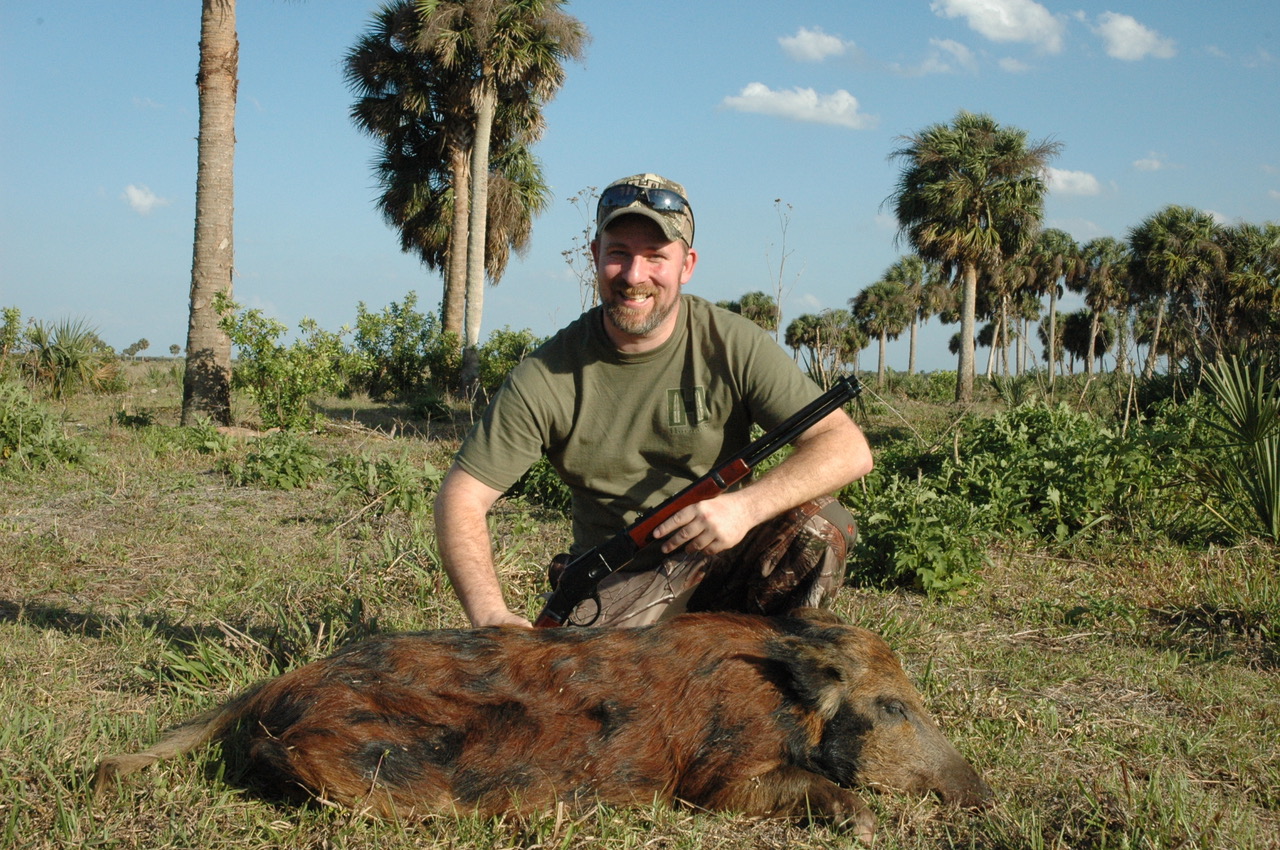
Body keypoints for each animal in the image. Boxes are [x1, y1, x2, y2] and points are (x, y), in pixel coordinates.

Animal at [94, 609, 991, 843]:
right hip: (376, 762)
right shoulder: (715, 780)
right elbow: (779, 790)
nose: (981, 794)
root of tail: (275, 687)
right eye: (895, 706)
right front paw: (865, 824)